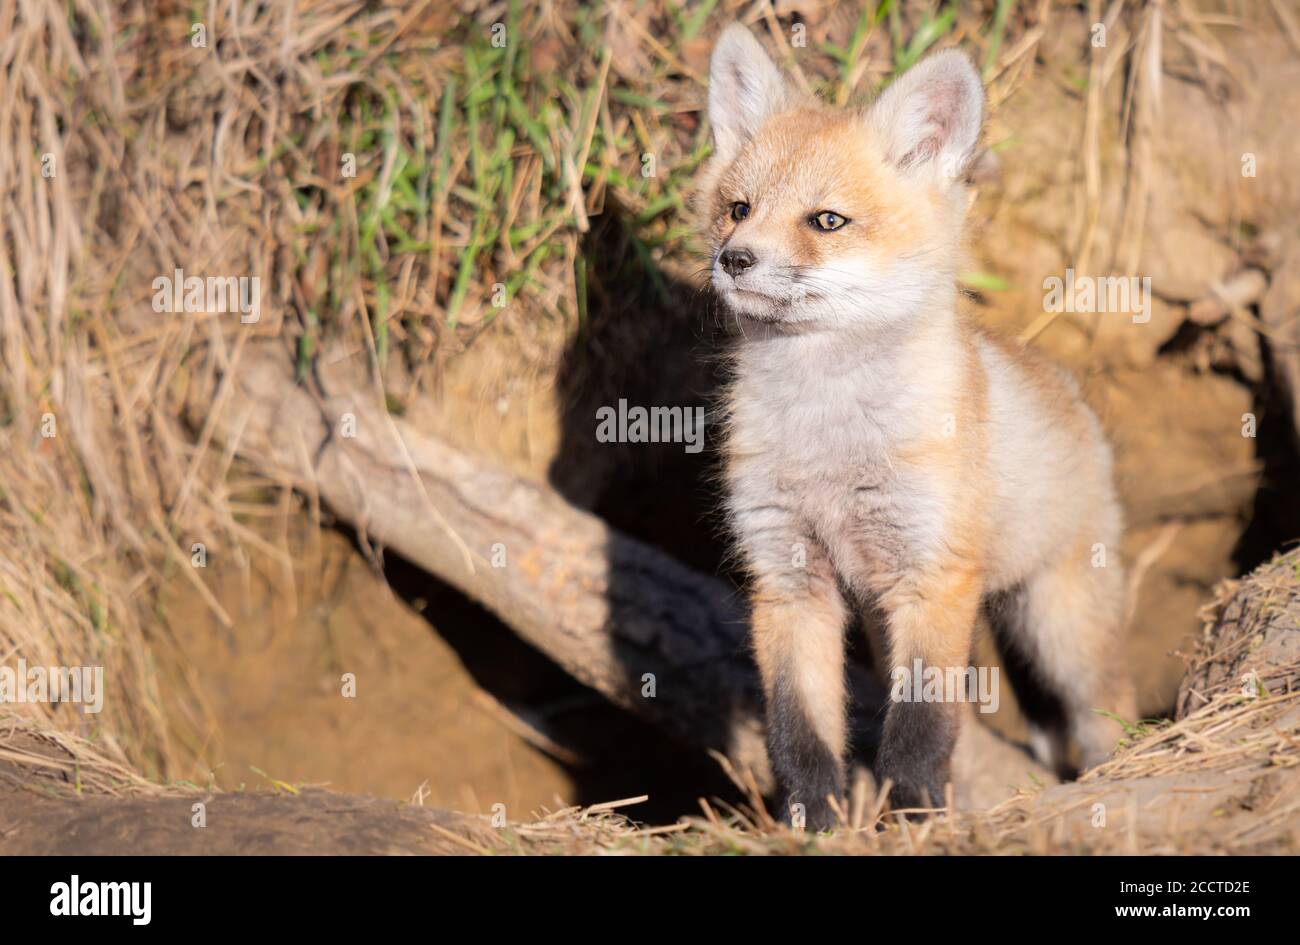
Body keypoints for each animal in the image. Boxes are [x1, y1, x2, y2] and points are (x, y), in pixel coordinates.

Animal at [700, 24, 1136, 830]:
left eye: (827, 221)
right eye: (738, 208)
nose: (733, 259)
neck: (829, 435)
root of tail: (1064, 384)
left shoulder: (933, 576)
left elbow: (919, 729)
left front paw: (915, 816)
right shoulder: (789, 577)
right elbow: (798, 728)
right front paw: (815, 822)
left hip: (1058, 620)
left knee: (1104, 700)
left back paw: (1107, 772)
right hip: (885, 615)